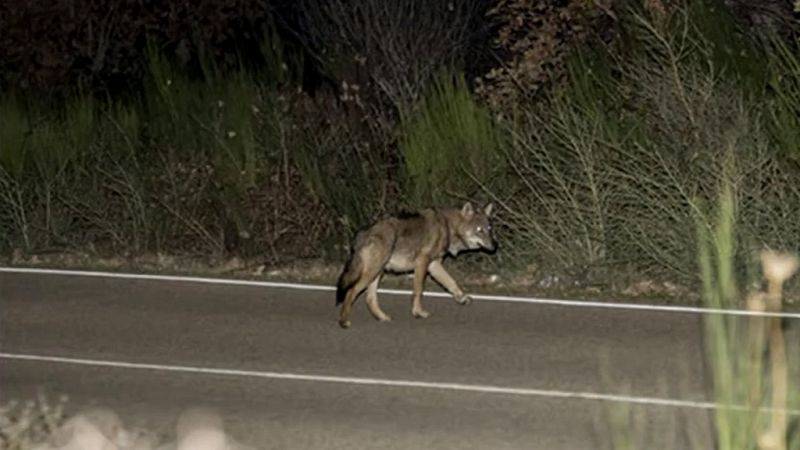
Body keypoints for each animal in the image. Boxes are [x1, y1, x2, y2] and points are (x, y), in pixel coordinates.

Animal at [335, 202, 497, 328]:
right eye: (479, 230)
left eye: (489, 229)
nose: (495, 246)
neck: (448, 226)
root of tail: (363, 232)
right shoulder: (422, 263)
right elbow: (418, 291)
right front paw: (418, 312)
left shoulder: (434, 265)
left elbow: (452, 283)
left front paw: (461, 298)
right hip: (372, 272)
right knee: (351, 292)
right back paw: (344, 321)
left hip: (377, 273)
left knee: (370, 299)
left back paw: (382, 317)